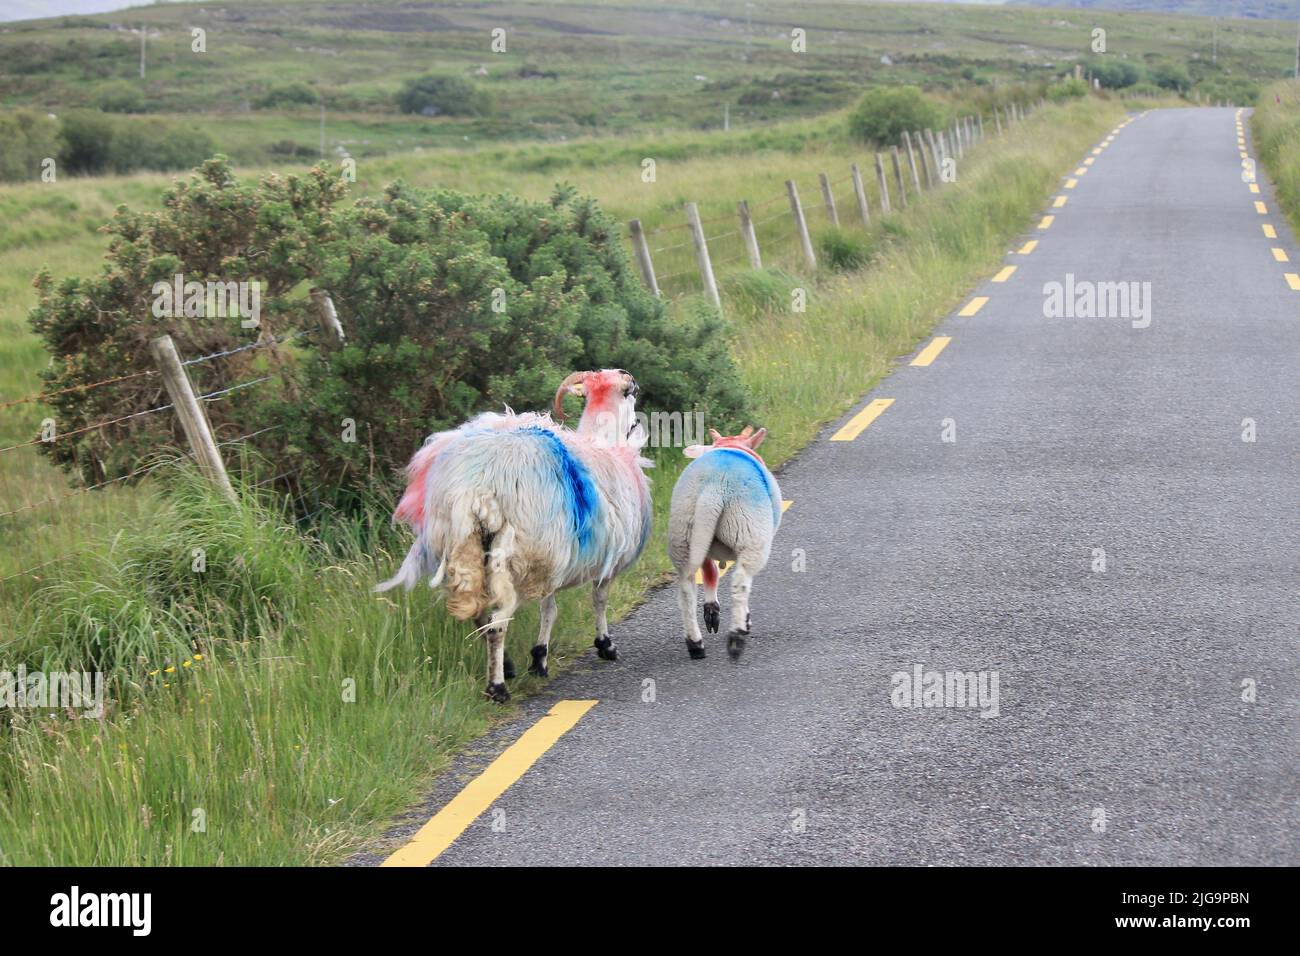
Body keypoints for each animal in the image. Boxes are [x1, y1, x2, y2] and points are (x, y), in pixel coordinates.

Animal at [376, 369, 653, 703]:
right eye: (630, 393)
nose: (636, 423)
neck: (603, 440)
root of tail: (476, 487)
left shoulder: (552, 562)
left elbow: (550, 608)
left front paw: (539, 657)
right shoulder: (600, 557)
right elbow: (594, 600)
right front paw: (603, 645)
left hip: (463, 547)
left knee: (481, 617)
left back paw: (505, 667)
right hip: (513, 557)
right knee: (497, 622)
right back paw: (497, 687)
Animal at [668, 426, 782, 661]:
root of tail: (713, 489)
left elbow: (710, 573)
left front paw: (712, 611)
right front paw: (744, 620)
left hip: (684, 533)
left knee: (686, 588)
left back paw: (695, 643)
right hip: (749, 533)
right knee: (741, 580)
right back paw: (737, 635)